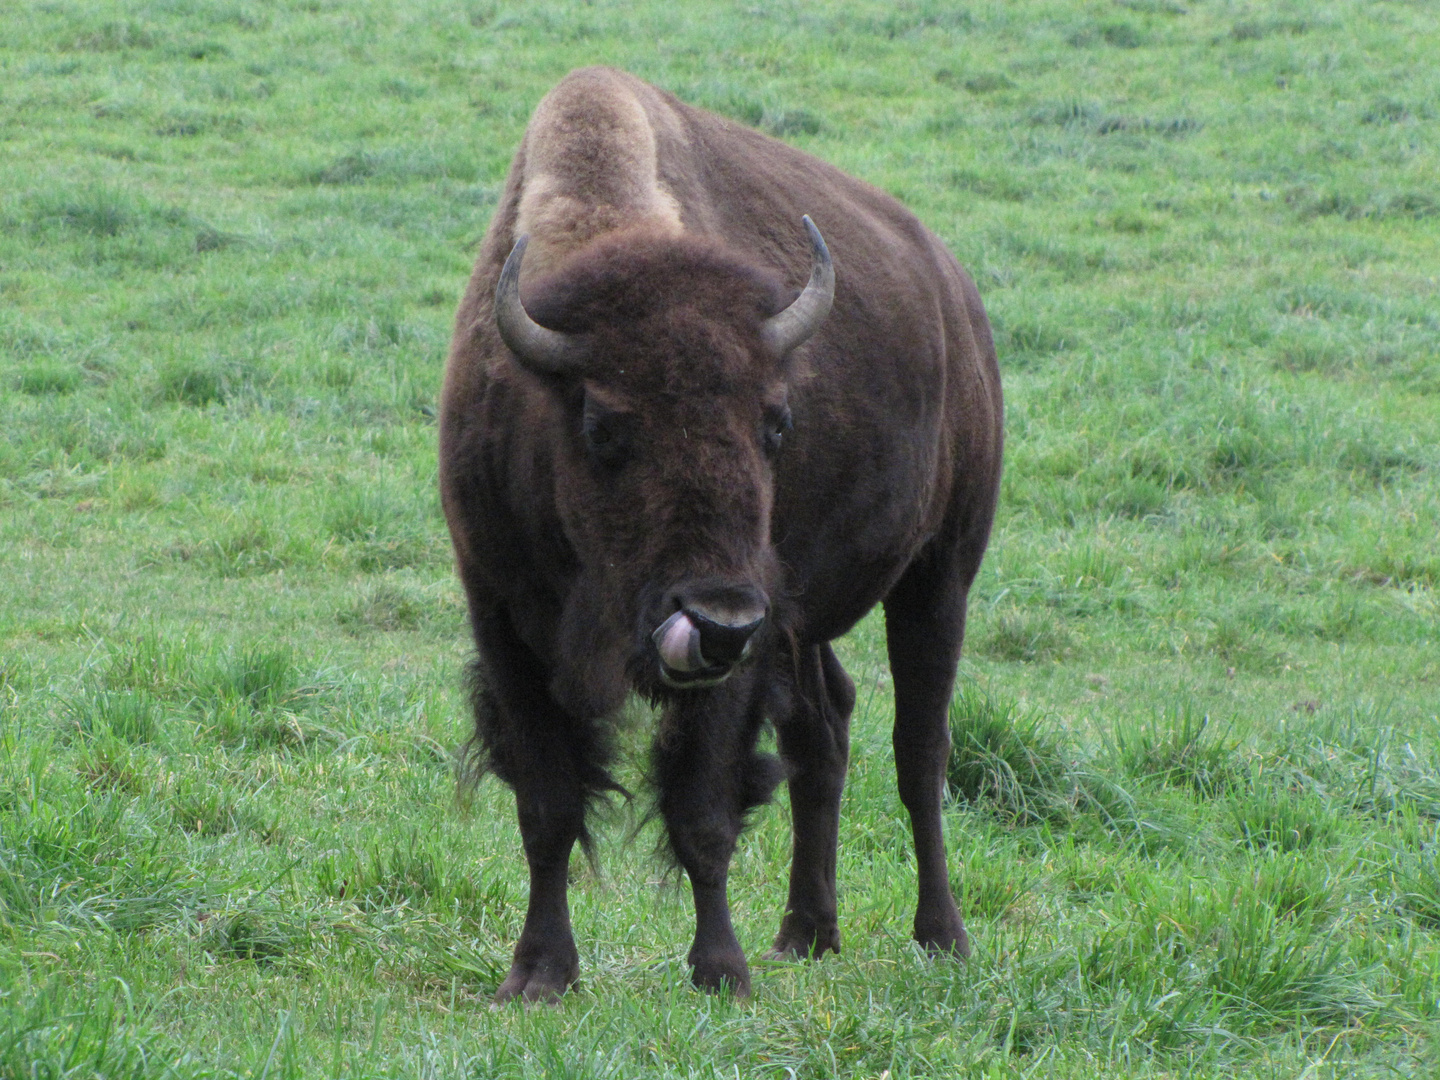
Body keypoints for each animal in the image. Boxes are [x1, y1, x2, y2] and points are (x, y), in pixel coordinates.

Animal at [440, 67, 1003, 1001]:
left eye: (777, 422)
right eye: (603, 429)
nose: (718, 620)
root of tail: (958, 297)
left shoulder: (744, 653)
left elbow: (702, 811)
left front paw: (721, 971)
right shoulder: (502, 617)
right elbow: (547, 807)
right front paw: (539, 974)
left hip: (939, 574)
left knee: (920, 751)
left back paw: (942, 936)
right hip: (807, 618)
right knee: (825, 733)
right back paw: (806, 933)